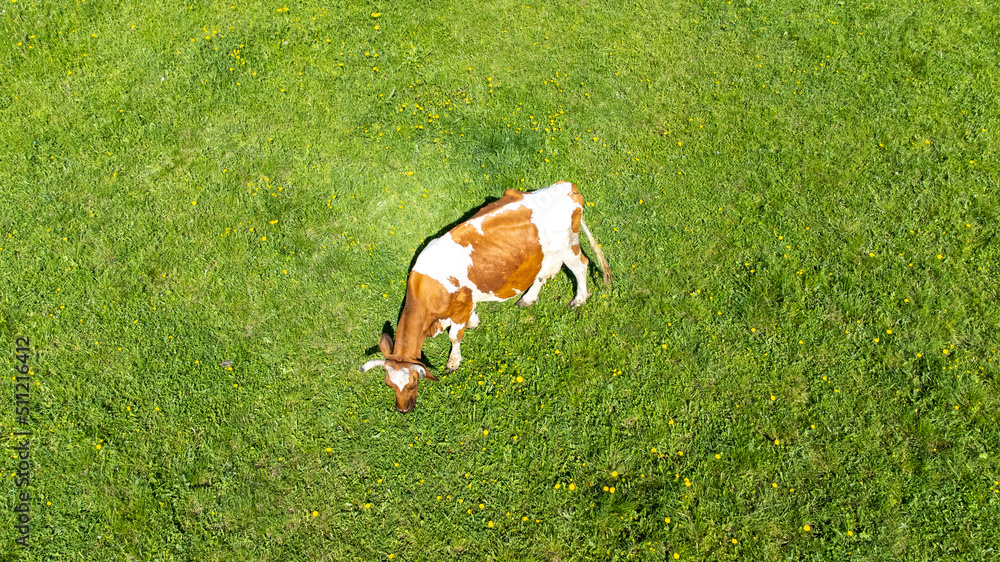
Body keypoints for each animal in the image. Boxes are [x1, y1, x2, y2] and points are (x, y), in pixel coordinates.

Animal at [359, 181, 611, 413]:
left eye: (413, 383)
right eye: (389, 384)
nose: (403, 410)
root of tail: (565, 186)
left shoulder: (460, 308)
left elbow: (454, 336)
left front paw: (453, 361)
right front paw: (474, 321)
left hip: (568, 247)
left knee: (581, 267)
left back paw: (579, 299)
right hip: (541, 254)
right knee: (542, 274)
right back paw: (529, 298)